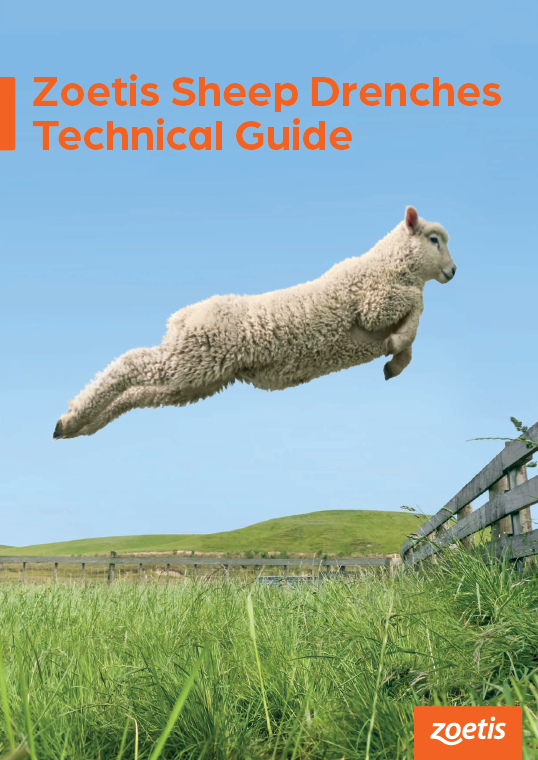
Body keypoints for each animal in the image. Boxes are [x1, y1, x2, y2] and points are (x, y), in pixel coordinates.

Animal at [53, 206, 456, 439]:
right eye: (434, 240)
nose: (453, 271)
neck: (391, 267)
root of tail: (186, 315)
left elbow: (411, 338)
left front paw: (395, 363)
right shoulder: (374, 304)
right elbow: (417, 306)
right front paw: (396, 348)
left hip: (196, 378)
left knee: (141, 394)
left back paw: (76, 426)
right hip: (193, 355)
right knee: (130, 363)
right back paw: (74, 416)